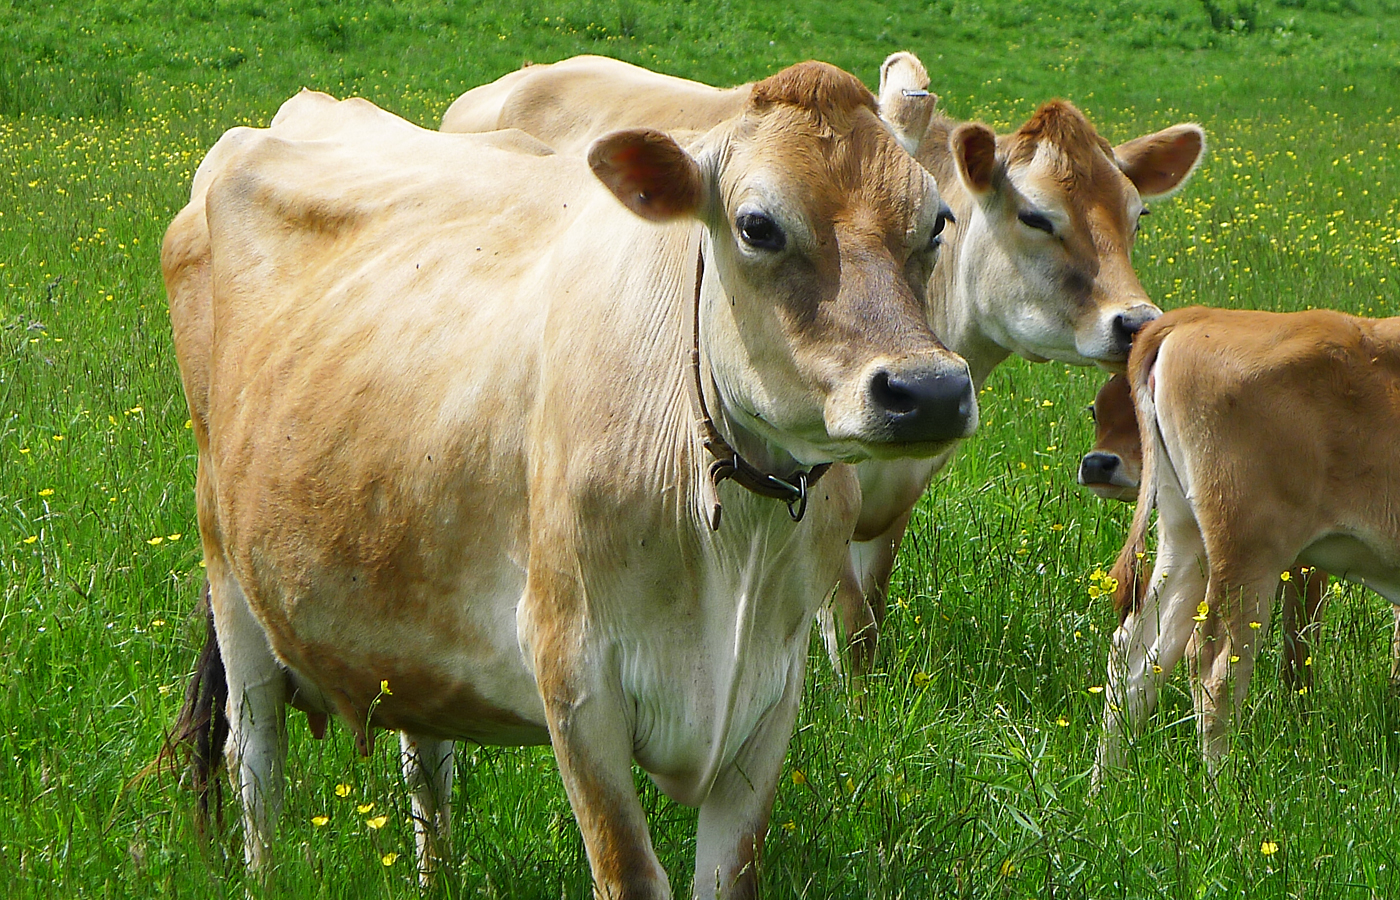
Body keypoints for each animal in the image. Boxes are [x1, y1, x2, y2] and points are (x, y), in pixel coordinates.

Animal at [164, 62, 977, 899]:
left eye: (936, 222)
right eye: (758, 226)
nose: (930, 390)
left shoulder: (772, 689)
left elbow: (731, 875)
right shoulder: (575, 677)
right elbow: (628, 871)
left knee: (425, 765)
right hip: (228, 567)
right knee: (257, 761)